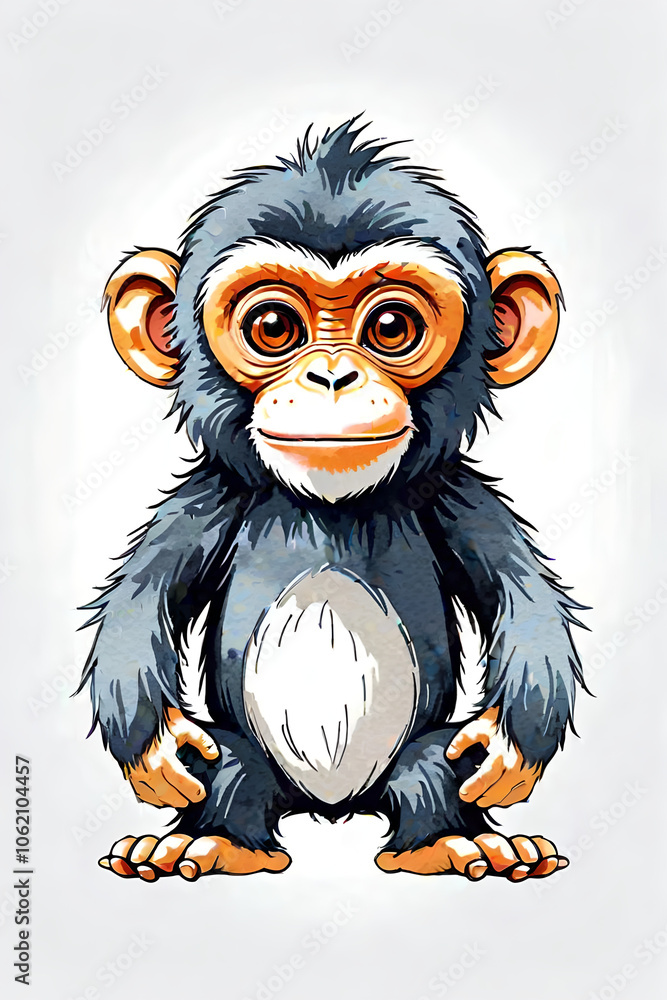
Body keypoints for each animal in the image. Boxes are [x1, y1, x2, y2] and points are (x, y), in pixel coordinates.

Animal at [79, 119, 586, 882]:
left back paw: (449, 842)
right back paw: (213, 842)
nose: (331, 377)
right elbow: (141, 597)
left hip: (414, 764)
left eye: (391, 327)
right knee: (230, 771)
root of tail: (331, 808)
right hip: (250, 765)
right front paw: (155, 747)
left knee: (433, 770)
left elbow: (525, 598)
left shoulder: (454, 495)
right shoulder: (212, 498)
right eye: (272, 328)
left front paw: (509, 746)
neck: (330, 508)